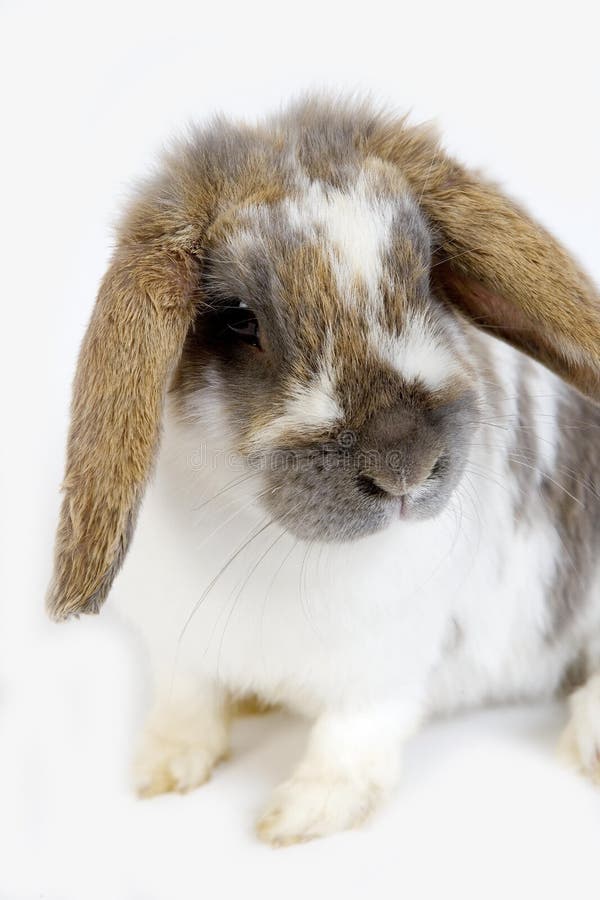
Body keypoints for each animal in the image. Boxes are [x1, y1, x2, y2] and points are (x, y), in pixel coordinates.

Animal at [47, 96, 600, 845]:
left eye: (427, 279)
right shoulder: (182, 650)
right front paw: (162, 771)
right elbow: (187, 704)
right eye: (239, 319)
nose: (405, 465)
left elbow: (351, 742)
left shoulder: (382, 671)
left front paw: (299, 815)